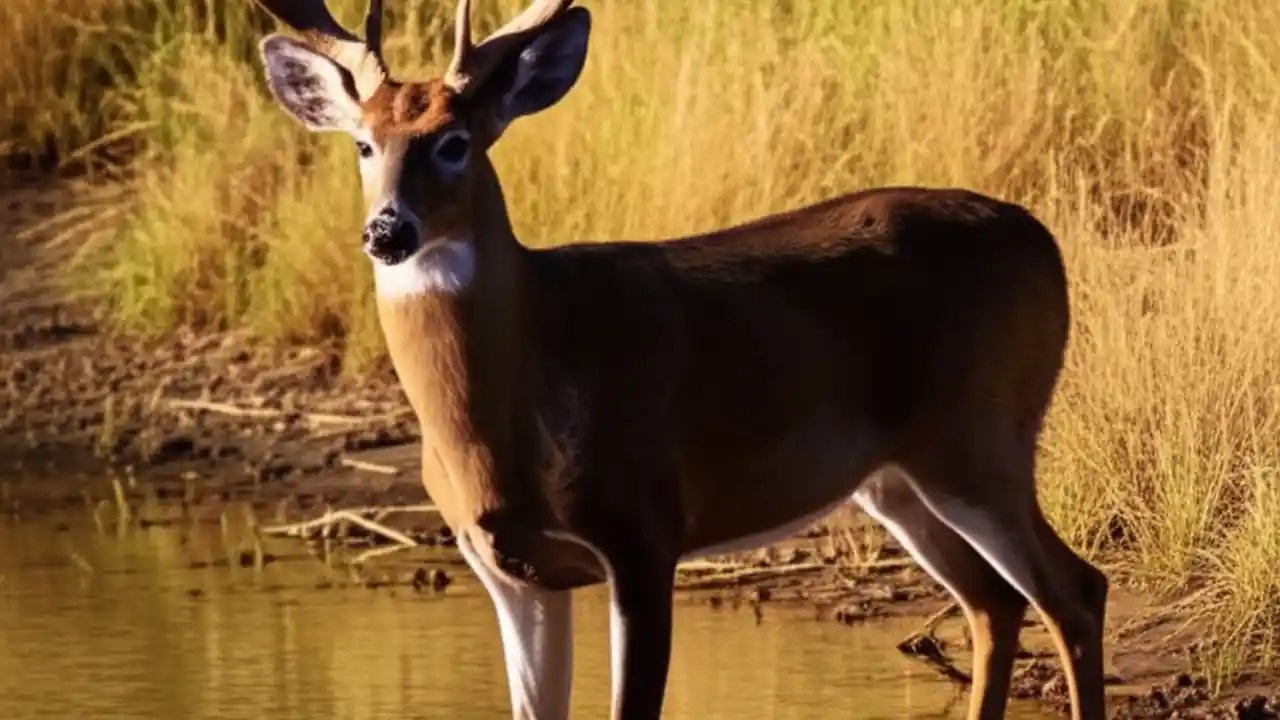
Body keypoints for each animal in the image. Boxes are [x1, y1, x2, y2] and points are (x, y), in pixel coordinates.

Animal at [251, 0, 1109, 718]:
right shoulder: (508, 569)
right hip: (896, 479)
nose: (387, 230)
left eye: (454, 143)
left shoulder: (642, 527)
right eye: (364, 144)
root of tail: (1042, 241)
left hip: (979, 434)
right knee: (995, 604)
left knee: (1076, 589)